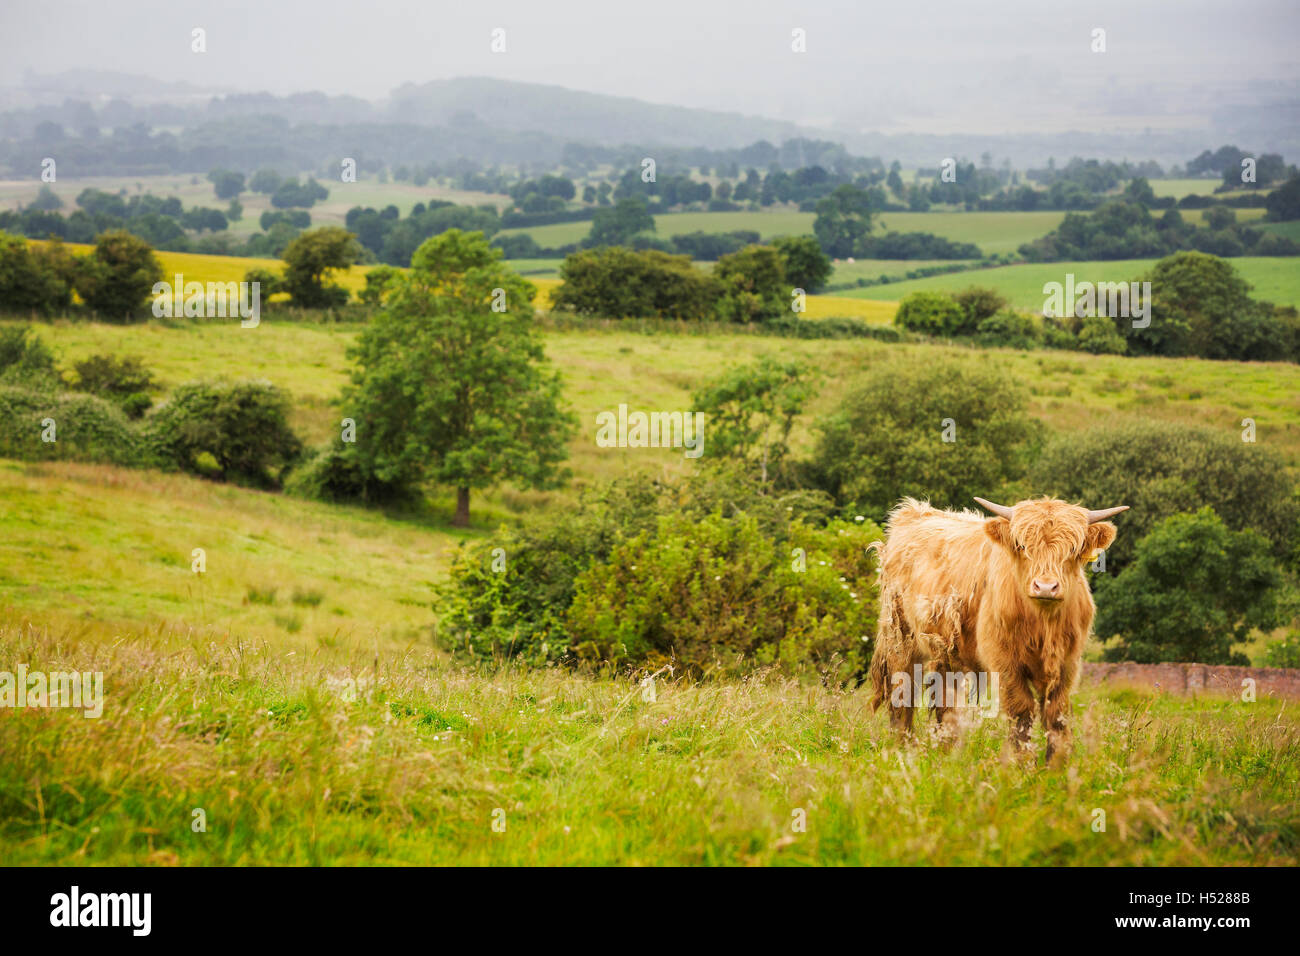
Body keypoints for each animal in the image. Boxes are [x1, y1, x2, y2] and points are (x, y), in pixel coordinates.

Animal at [868, 496, 1128, 764]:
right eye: (1022, 546)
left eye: (1073, 550)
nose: (1046, 587)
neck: (1042, 624)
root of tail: (914, 511)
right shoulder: (1005, 661)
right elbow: (1022, 709)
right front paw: (1022, 762)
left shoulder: (1067, 663)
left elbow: (1057, 713)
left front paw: (1057, 763)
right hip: (899, 639)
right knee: (902, 693)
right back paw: (903, 748)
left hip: (945, 652)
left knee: (946, 702)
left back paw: (947, 753)